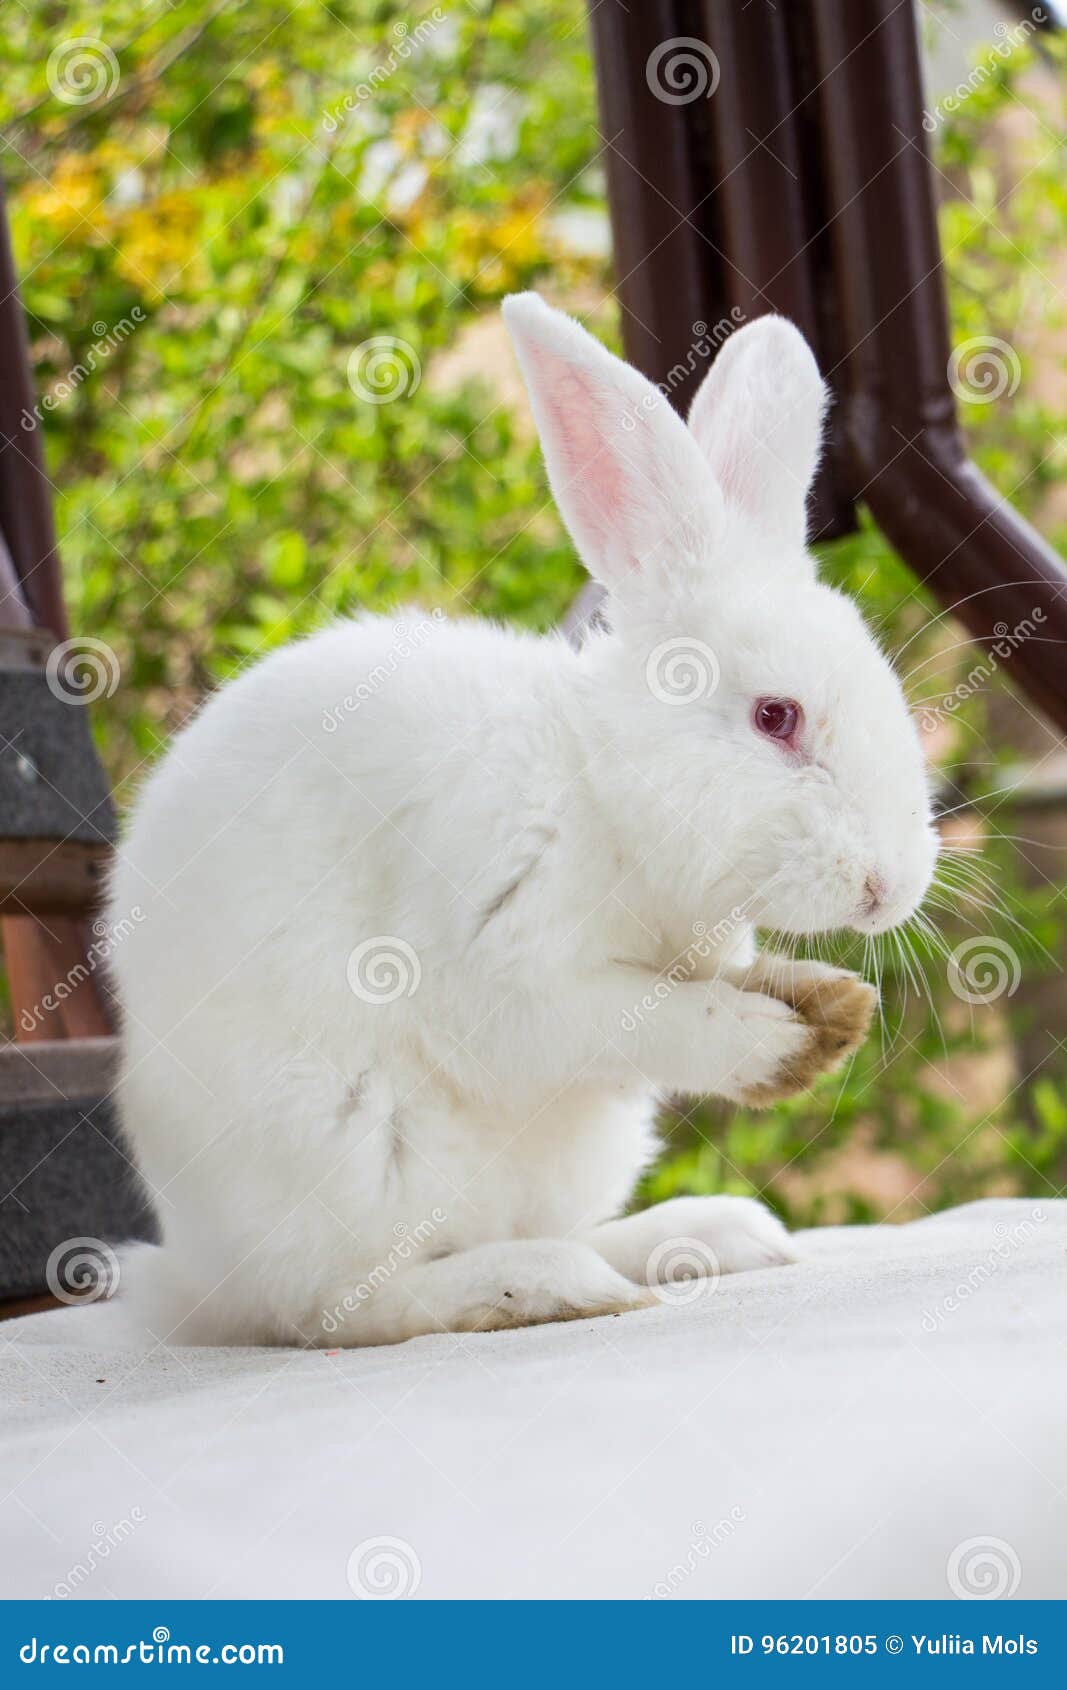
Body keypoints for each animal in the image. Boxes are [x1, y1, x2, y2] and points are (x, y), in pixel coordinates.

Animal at [107, 293, 938, 1347]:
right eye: (775, 717)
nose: (890, 886)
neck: (598, 783)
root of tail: (198, 1279)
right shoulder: (501, 969)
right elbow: (638, 1020)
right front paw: (775, 1042)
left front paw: (818, 1002)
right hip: (351, 1152)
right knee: (342, 1306)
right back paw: (544, 1285)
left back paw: (705, 1234)